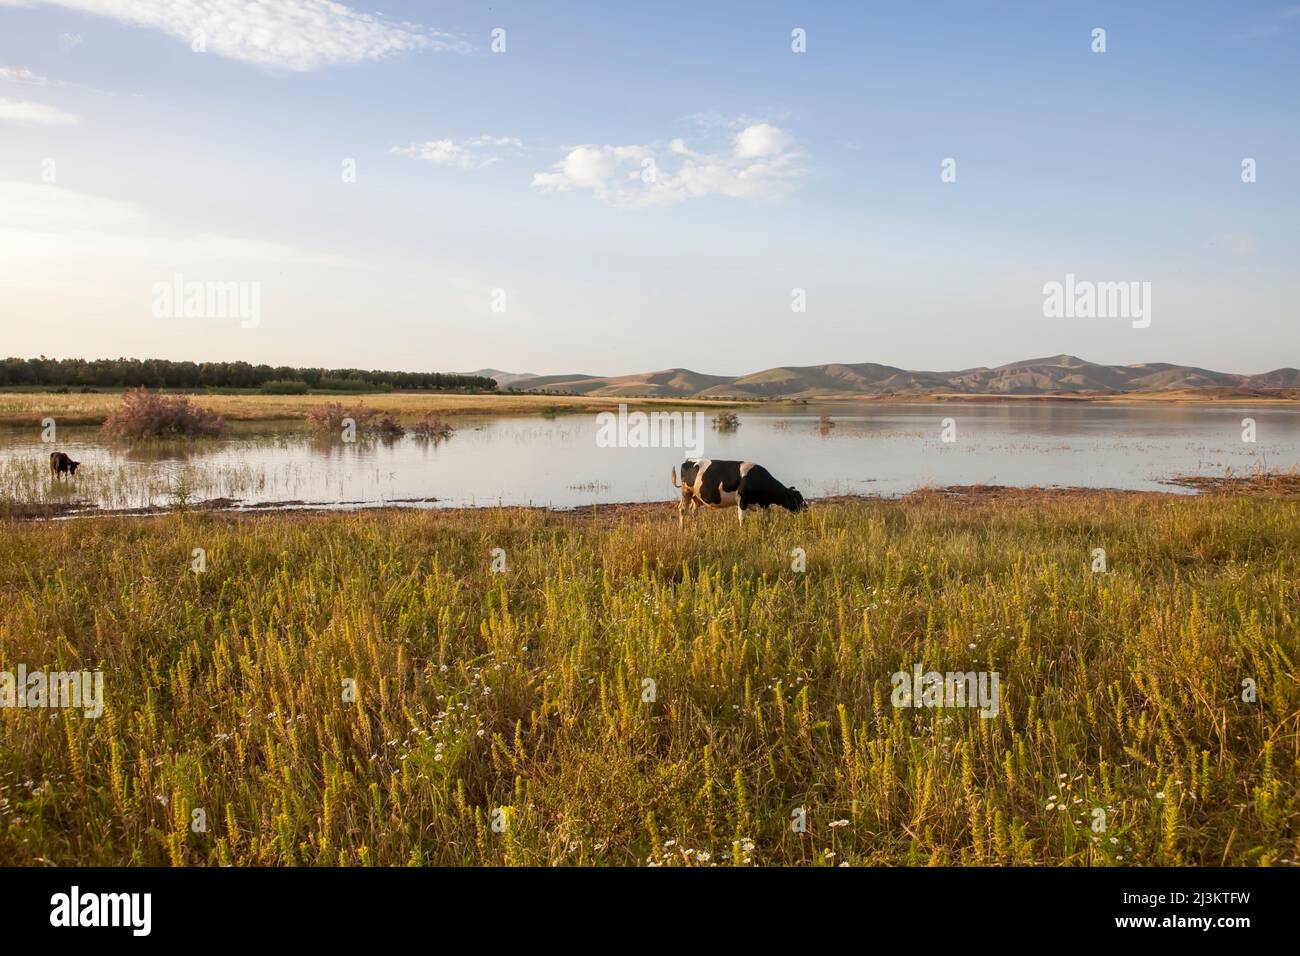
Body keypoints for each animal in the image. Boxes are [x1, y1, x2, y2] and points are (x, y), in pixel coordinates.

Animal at [671, 458, 807, 527]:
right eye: (797, 498)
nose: (806, 508)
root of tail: (689, 460)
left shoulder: (764, 503)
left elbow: (767, 518)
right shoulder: (742, 499)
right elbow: (742, 519)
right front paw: (742, 534)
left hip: (696, 496)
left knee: (694, 511)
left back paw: (696, 528)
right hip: (686, 491)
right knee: (682, 509)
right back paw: (682, 529)